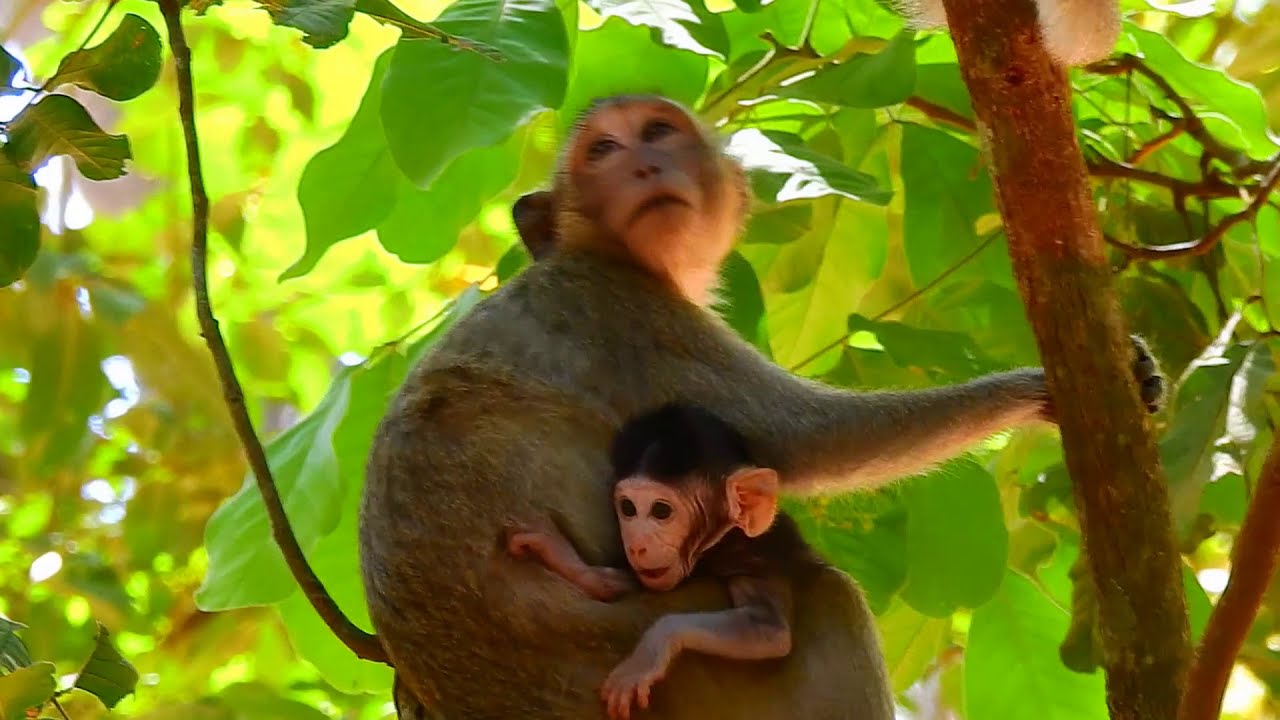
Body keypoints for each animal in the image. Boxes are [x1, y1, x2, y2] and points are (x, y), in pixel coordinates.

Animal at [506, 402, 829, 720]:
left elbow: (768, 627)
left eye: (661, 511)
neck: (715, 546)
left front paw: (650, 651)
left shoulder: (755, 551)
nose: (636, 545)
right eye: (627, 508)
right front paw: (562, 555)